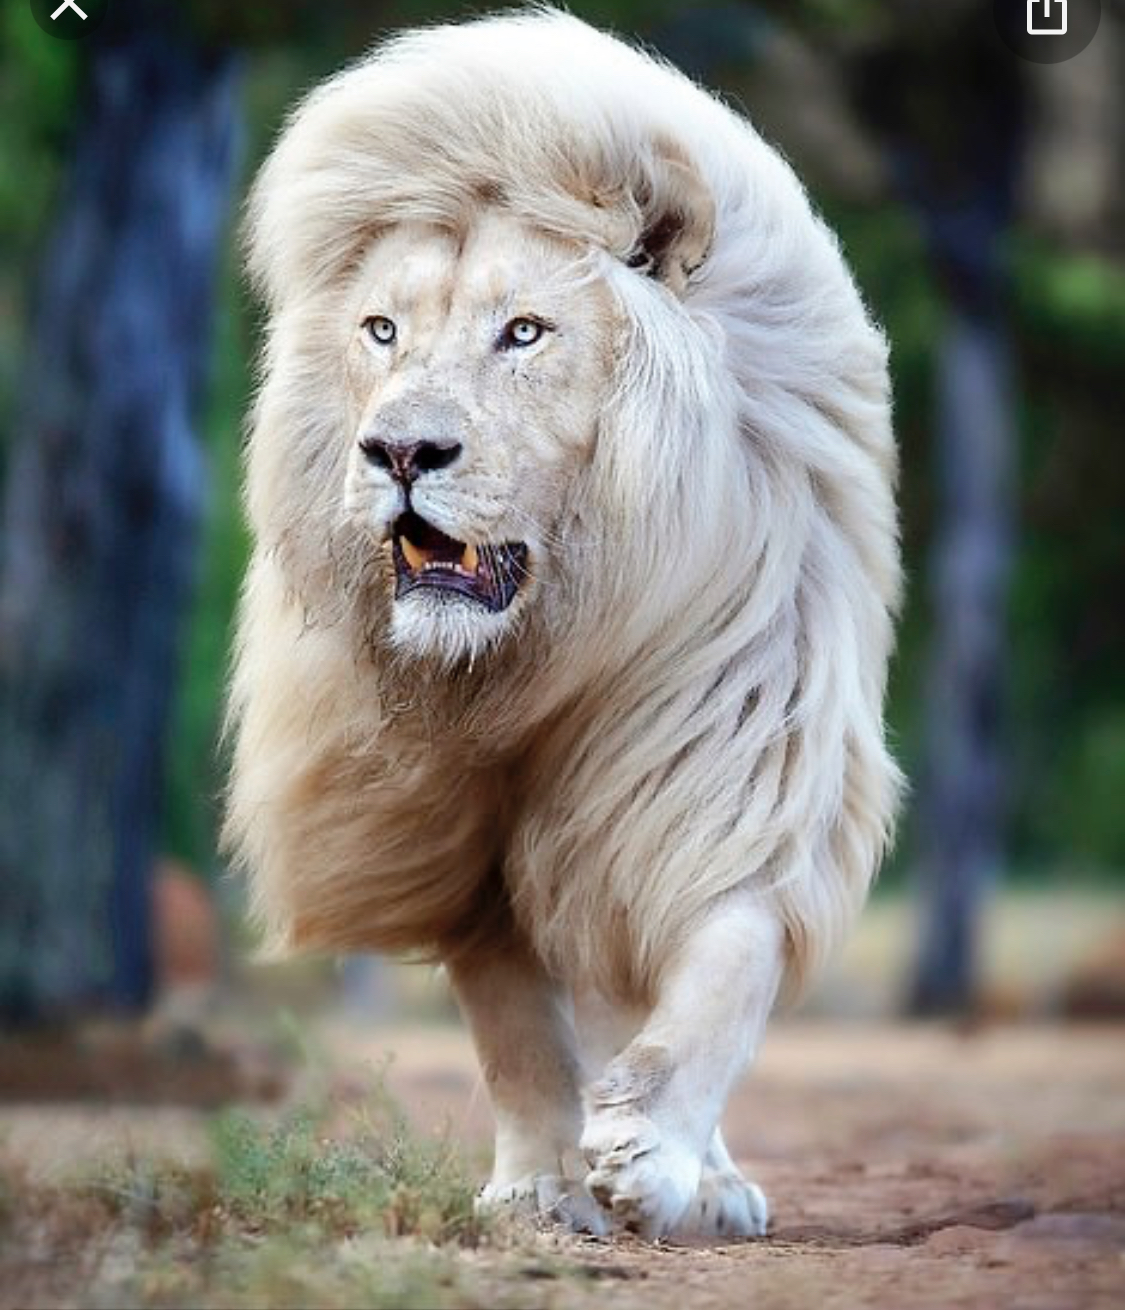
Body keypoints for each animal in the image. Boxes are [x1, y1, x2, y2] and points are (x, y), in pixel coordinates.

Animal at [224, 9, 901, 1240]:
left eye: (525, 332)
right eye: (381, 330)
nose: (399, 450)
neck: (541, 649)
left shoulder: (737, 754)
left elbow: (725, 965)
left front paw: (653, 1156)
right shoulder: (443, 825)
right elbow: (516, 1028)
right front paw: (542, 1186)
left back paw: (708, 1182)